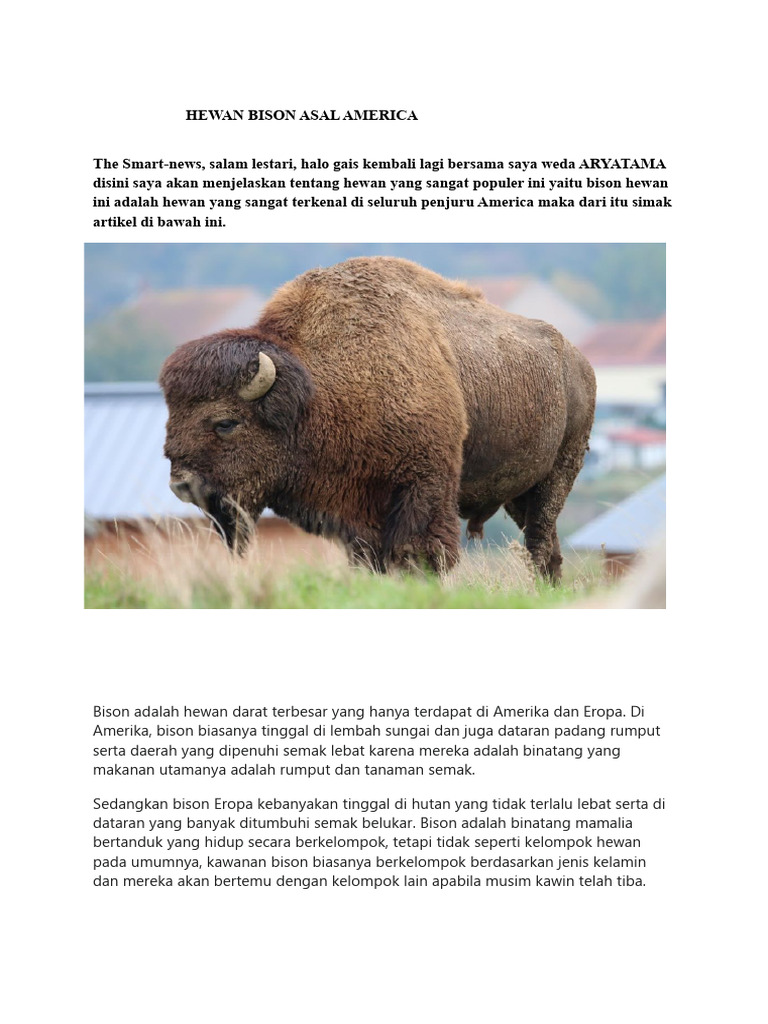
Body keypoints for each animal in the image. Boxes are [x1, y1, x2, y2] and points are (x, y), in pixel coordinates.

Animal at [159, 257, 596, 579]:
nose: (182, 485)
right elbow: (369, 558)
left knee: (540, 541)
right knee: (548, 546)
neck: (319, 390)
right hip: (521, 492)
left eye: (225, 423)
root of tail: (579, 362)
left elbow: (419, 553)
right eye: (171, 418)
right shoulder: (356, 510)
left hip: (558, 475)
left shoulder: (423, 485)